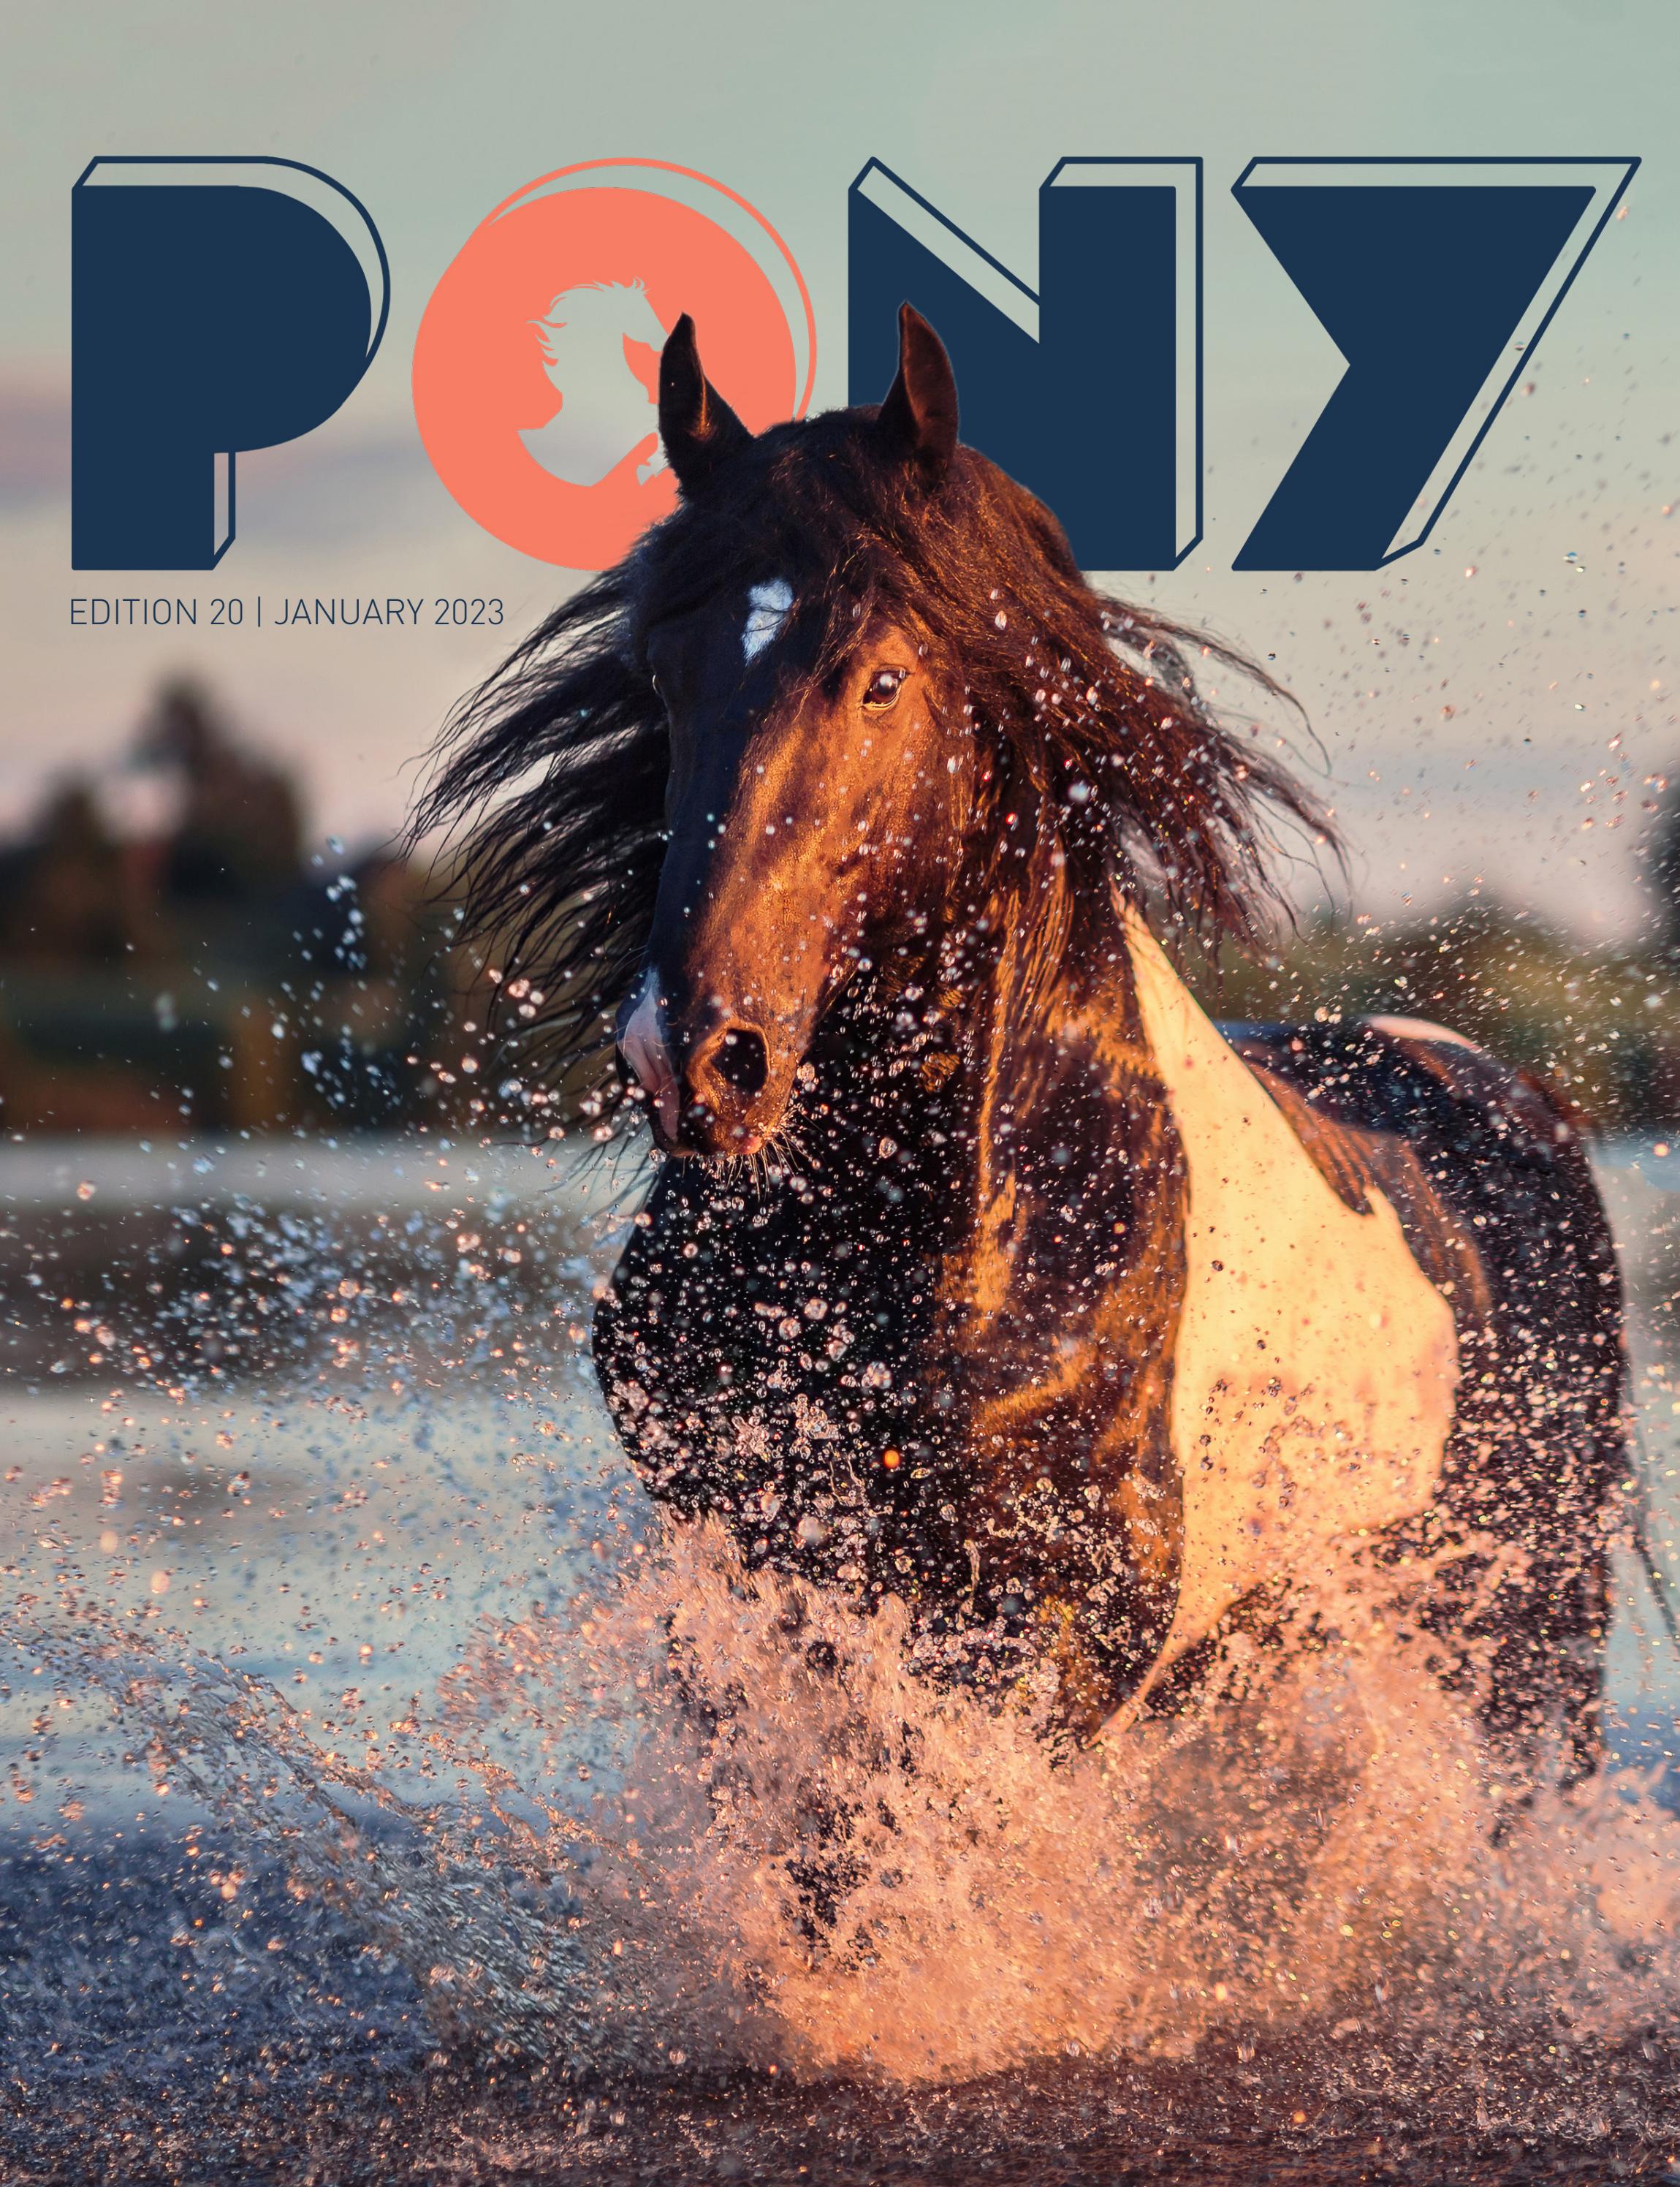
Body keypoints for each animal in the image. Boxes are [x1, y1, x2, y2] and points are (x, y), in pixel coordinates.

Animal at [420, 303, 1626, 1782]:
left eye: (881, 677)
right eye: (659, 672)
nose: (696, 1054)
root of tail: (1499, 1085)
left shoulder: (1064, 1635)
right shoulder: (766, 1600)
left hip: (1519, 1649)